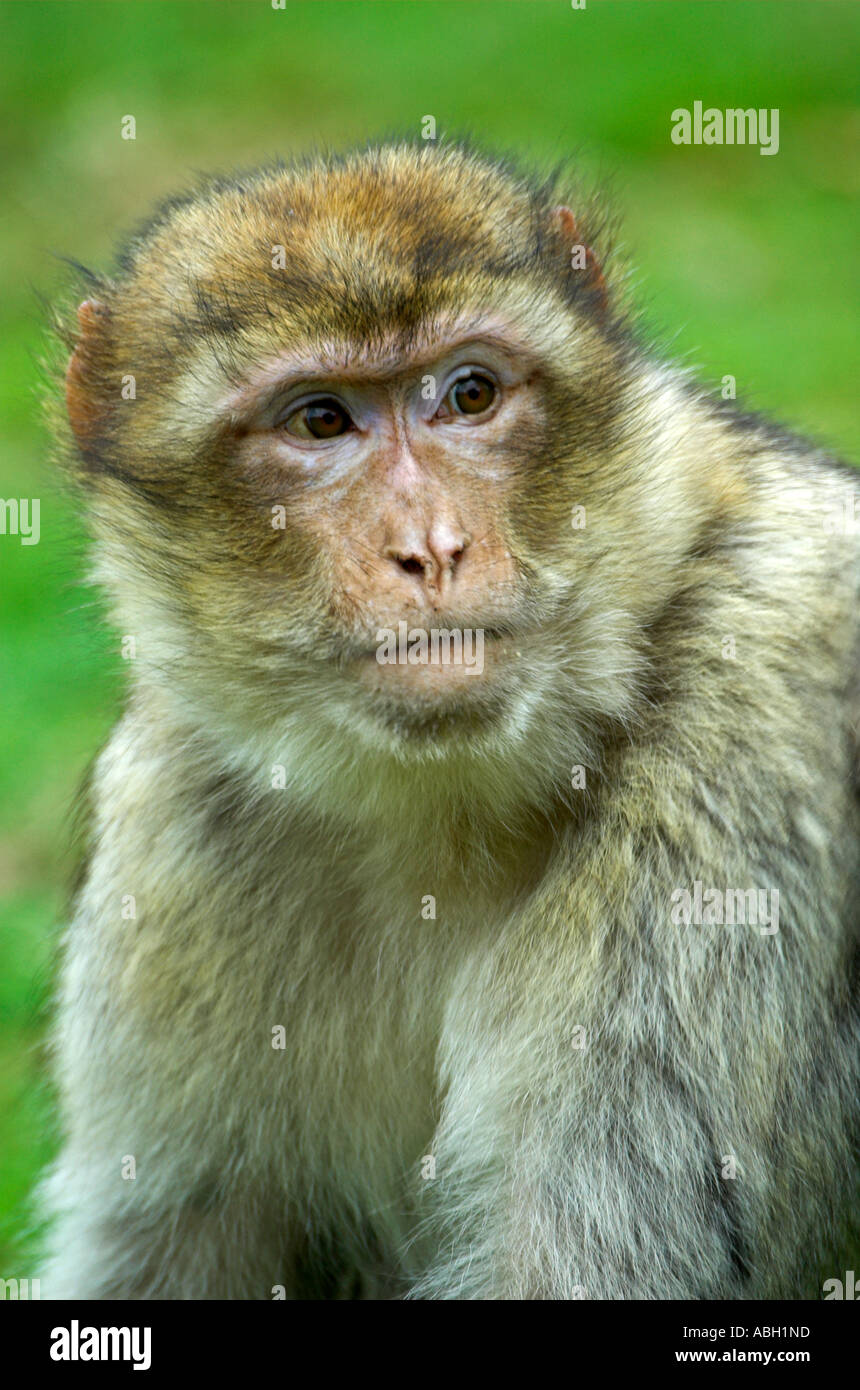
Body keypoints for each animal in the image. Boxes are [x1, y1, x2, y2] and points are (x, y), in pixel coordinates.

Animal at [39, 139, 858, 1300]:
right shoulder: (175, 812)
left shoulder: (741, 742)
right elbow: (168, 1242)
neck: (450, 806)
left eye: (468, 394)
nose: (431, 547)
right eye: (320, 419)